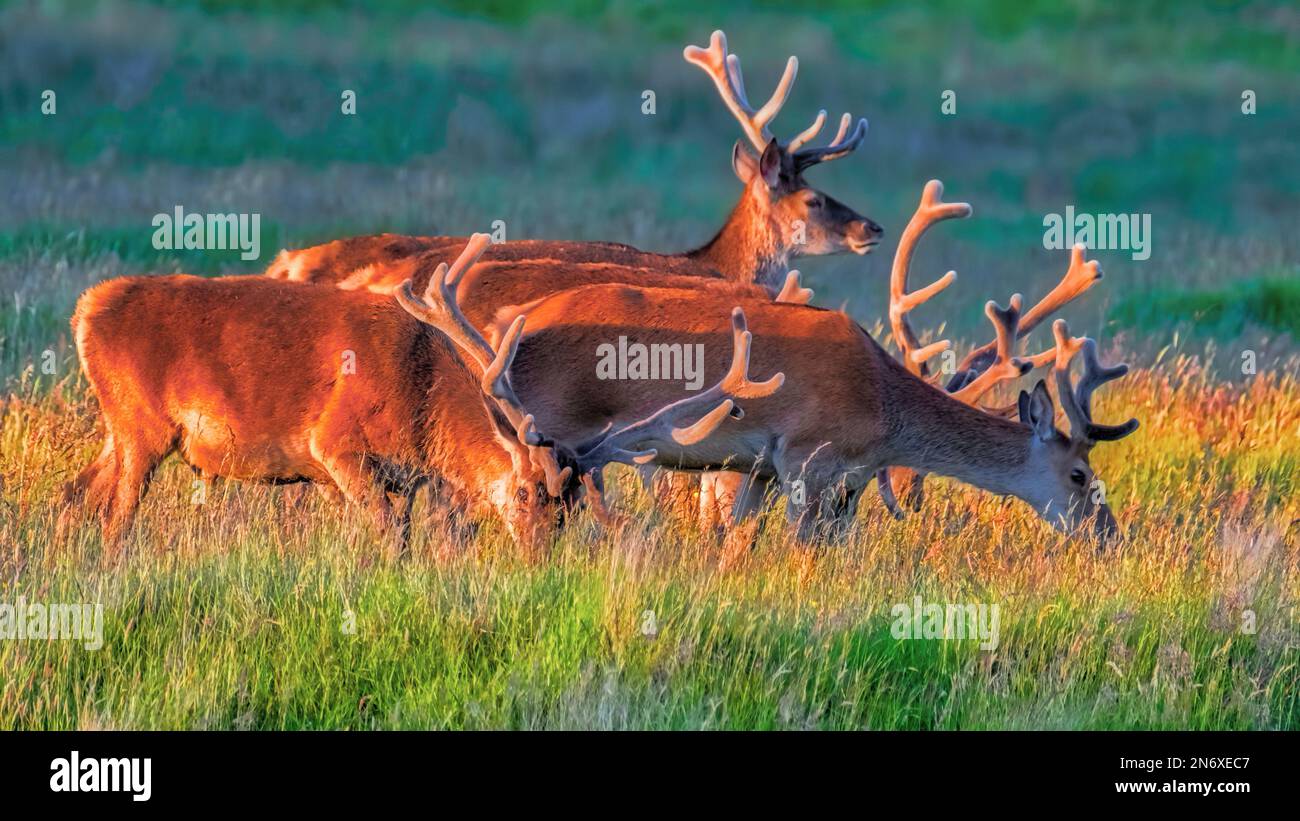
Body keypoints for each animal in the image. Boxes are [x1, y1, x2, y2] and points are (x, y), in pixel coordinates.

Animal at [59, 234, 783, 558]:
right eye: (528, 492)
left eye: (572, 507)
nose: (538, 562)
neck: (424, 402)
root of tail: (84, 311)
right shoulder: (335, 446)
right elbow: (389, 538)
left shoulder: (405, 477)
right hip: (142, 425)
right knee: (116, 510)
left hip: (116, 428)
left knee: (76, 494)